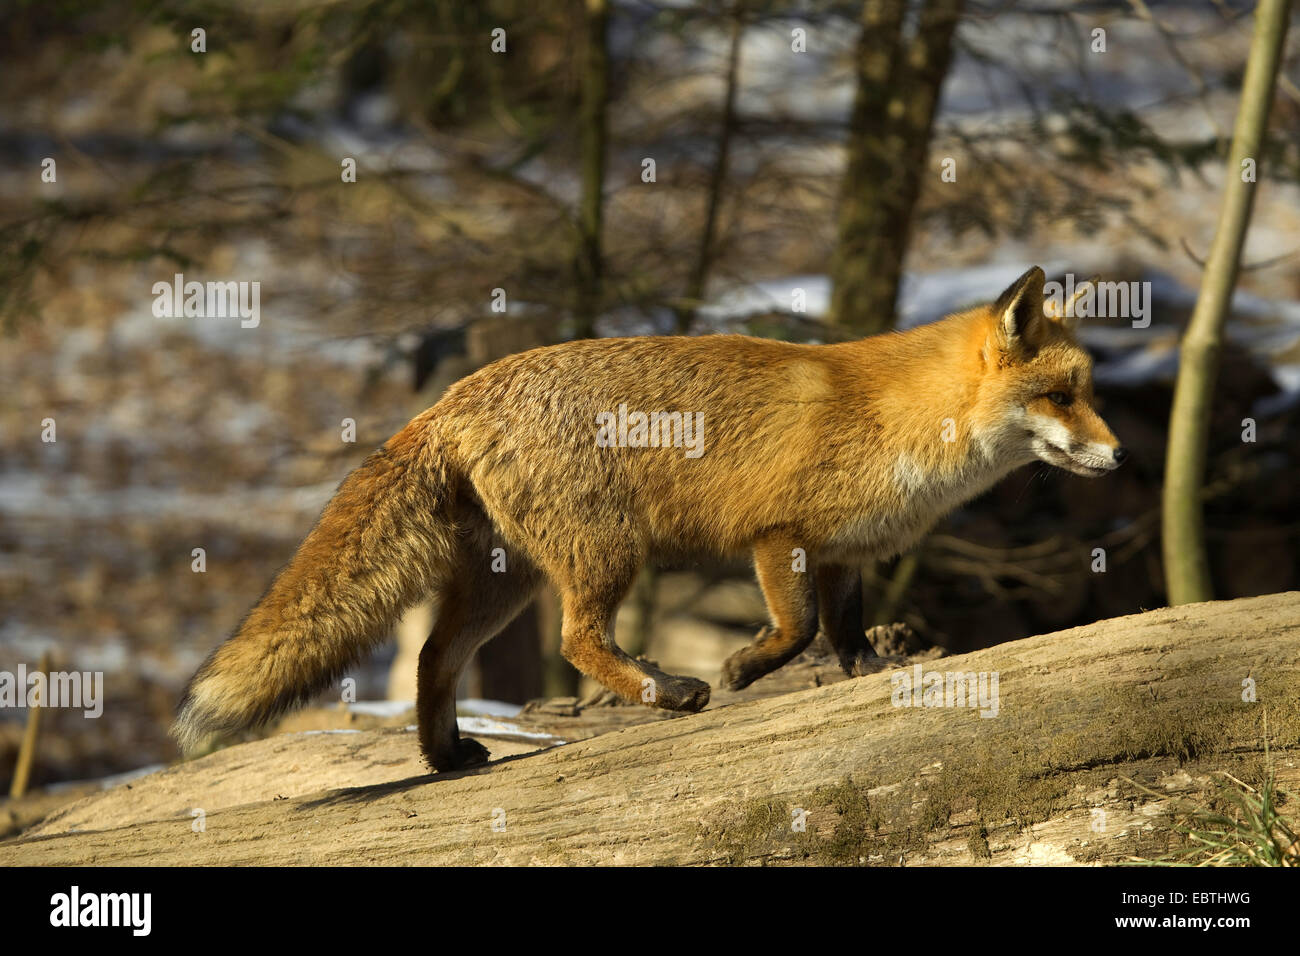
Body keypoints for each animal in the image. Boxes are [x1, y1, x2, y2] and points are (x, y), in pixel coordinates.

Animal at [173, 265, 1125, 771]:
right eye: (1060, 397)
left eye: (1090, 394)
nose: (1119, 460)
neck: (901, 423)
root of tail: (453, 396)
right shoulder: (778, 538)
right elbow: (797, 627)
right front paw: (743, 669)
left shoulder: (845, 553)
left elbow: (847, 633)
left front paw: (866, 676)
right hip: (603, 555)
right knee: (576, 643)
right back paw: (669, 691)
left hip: (507, 582)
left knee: (436, 659)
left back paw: (446, 757)